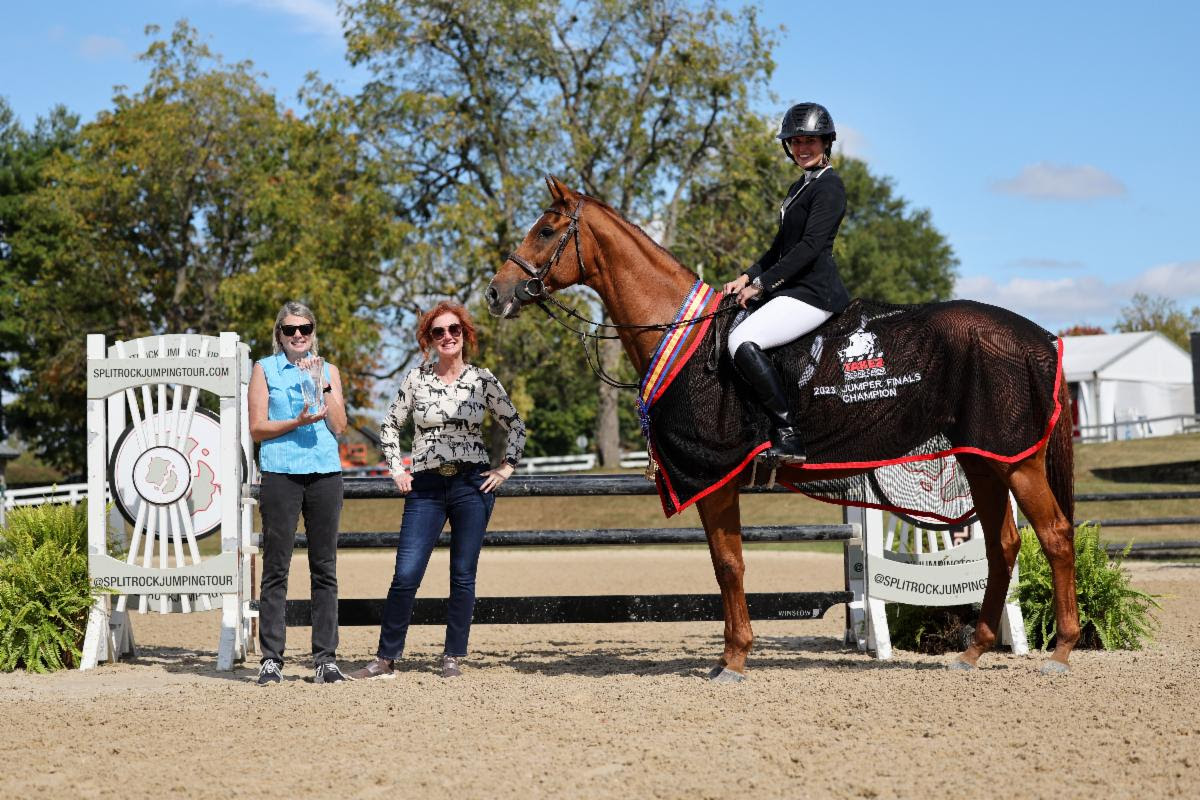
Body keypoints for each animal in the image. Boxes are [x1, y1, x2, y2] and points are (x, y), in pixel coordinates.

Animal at [485, 176, 1078, 681]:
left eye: (545, 230)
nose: (496, 292)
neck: (685, 337)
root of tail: (1038, 338)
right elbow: (724, 563)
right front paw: (729, 655)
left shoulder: (714, 476)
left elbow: (729, 565)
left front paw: (734, 660)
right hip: (984, 459)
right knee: (1003, 544)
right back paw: (973, 651)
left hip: (1017, 460)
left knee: (1054, 535)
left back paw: (1062, 652)